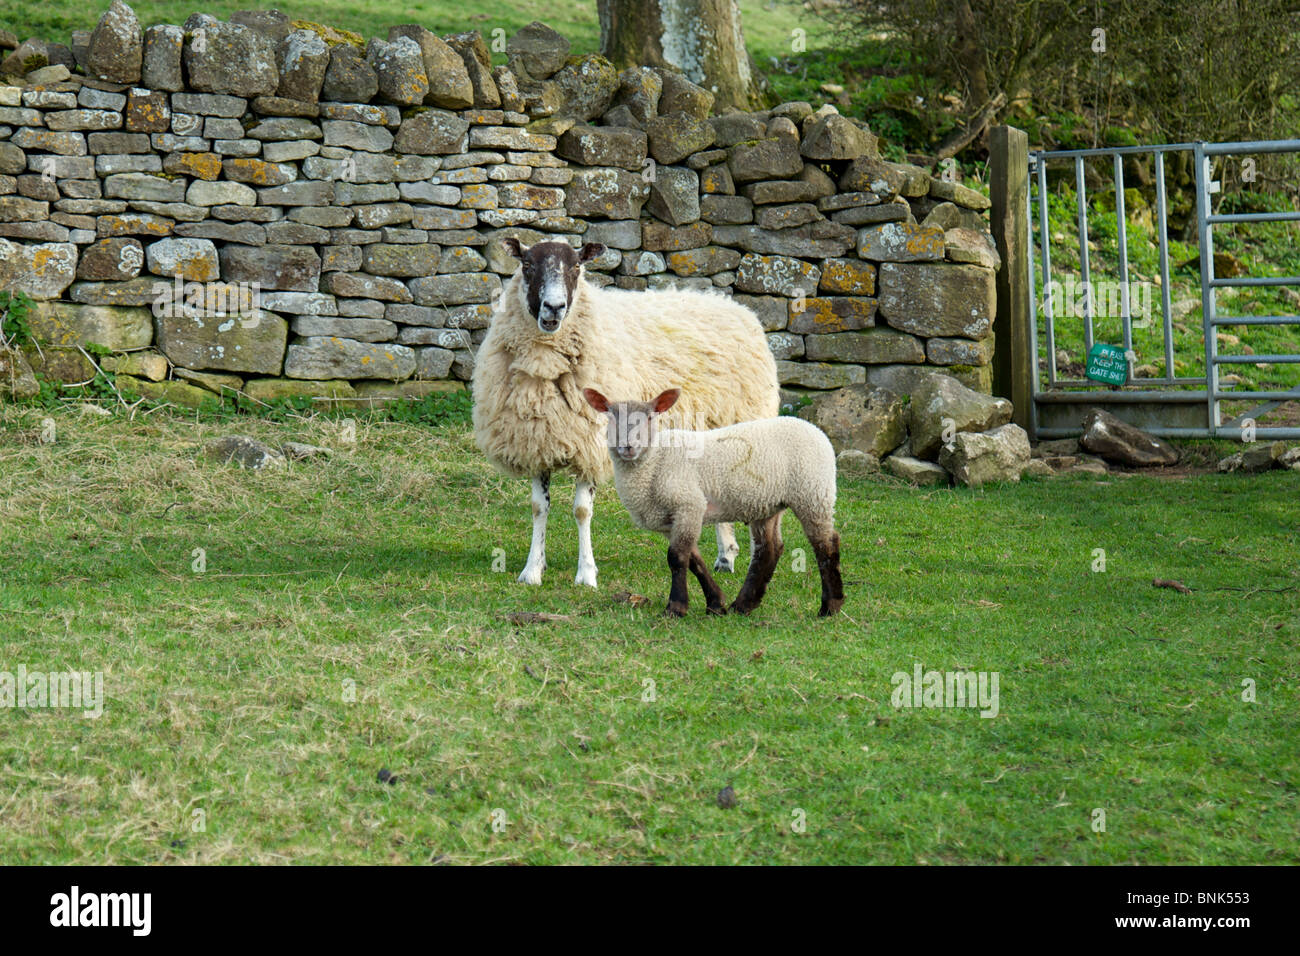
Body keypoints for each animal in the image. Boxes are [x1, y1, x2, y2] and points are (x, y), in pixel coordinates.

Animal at [471, 239, 780, 588]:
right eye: (527, 265)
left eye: (576, 267)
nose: (554, 307)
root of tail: (736, 307)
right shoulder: (538, 439)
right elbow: (538, 508)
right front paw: (533, 570)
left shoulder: (592, 444)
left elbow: (582, 511)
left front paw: (586, 574)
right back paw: (725, 555)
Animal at [581, 386, 845, 618]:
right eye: (610, 417)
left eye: (648, 418)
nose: (628, 447)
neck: (656, 461)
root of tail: (814, 429)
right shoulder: (671, 520)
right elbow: (693, 560)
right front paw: (716, 604)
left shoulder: (688, 503)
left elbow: (677, 558)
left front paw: (676, 608)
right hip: (768, 503)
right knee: (768, 549)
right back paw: (743, 605)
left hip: (813, 491)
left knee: (825, 544)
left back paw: (830, 607)